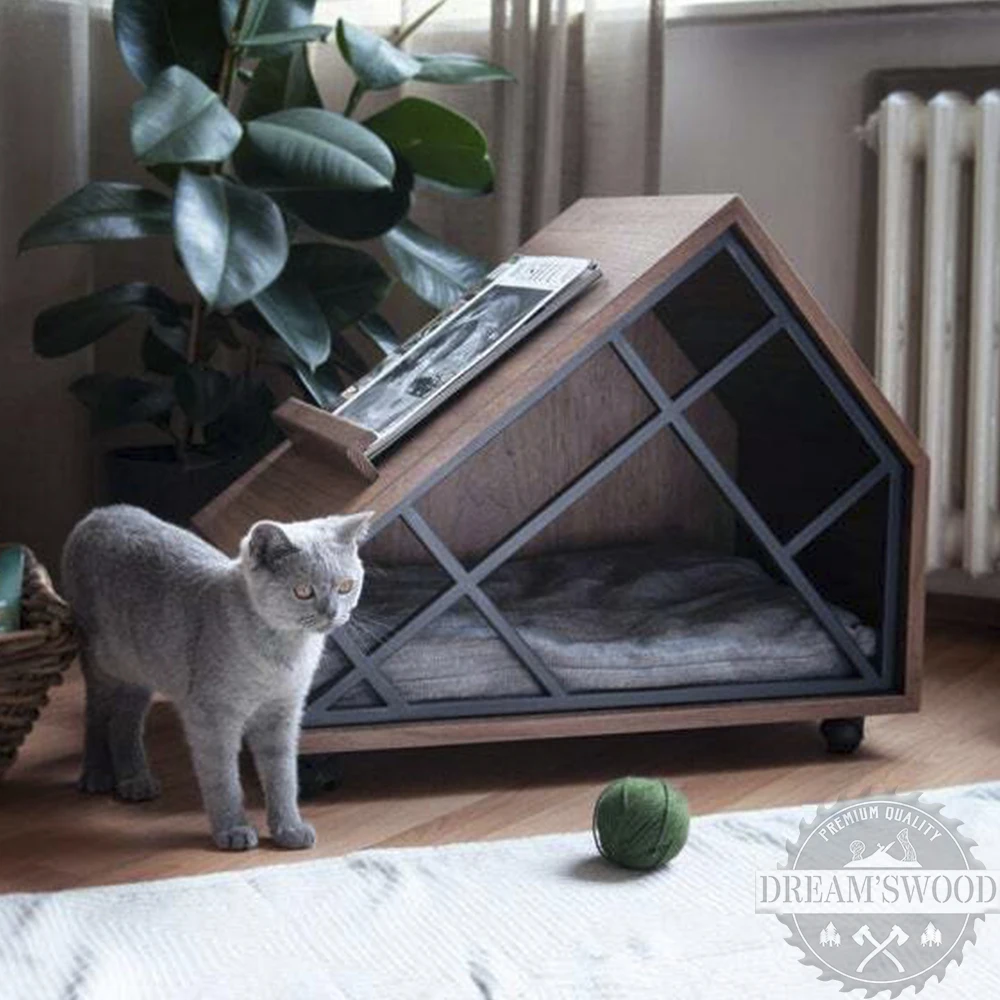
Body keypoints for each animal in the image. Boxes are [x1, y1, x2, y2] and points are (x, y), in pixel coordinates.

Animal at [61, 504, 371, 851]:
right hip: (101, 664)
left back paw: (135, 781)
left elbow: (283, 776)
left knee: (124, 723)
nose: (331, 613)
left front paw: (289, 829)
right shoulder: (212, 717)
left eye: (346, 586)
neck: (284, 654)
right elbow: (223, 779)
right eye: (303, 591)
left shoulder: (284, 712)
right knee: (97, 716)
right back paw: (96, 775)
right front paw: (233, 831)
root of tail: (102, 512)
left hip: (139, 672)